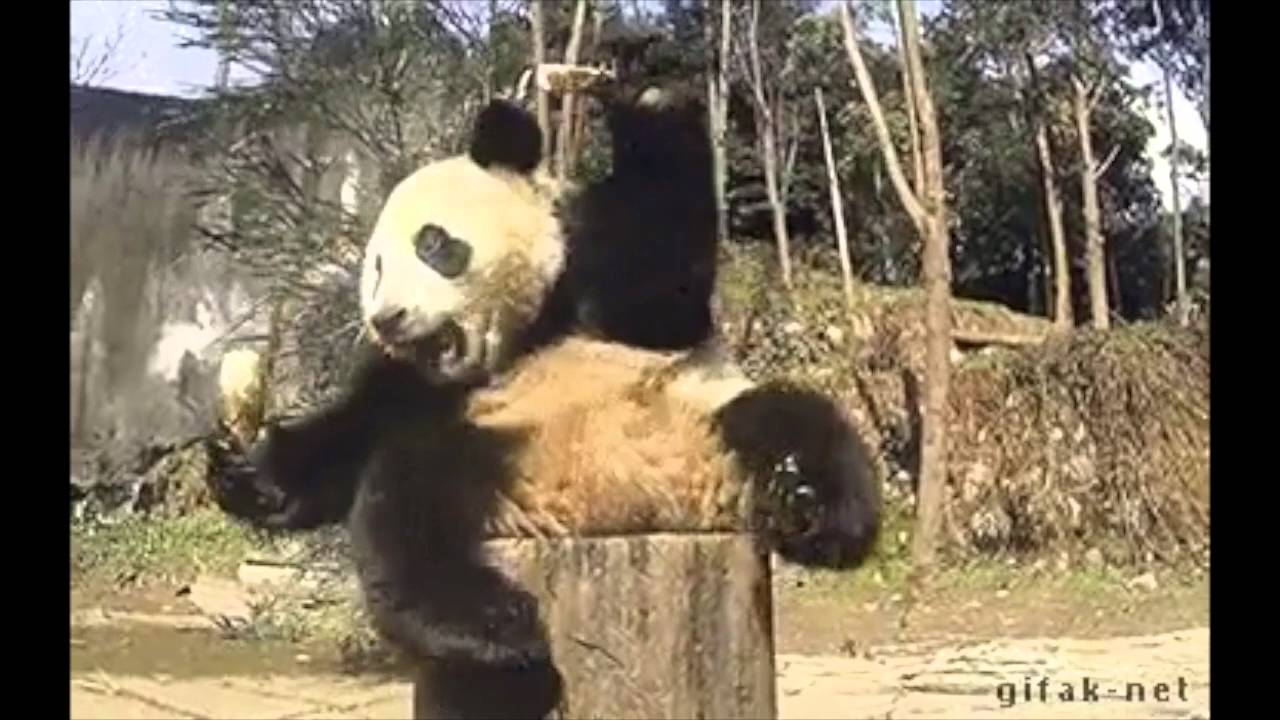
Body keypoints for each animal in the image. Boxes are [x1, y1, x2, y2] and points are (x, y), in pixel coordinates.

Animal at [207, 66, 880, 719]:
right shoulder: (412, 383)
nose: (387, 318)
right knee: (406, 508)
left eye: (433, 243)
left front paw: (648, 101)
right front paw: (246, 471)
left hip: (702, 412)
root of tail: (626, 503)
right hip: (501, 452)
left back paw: (808, 503)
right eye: (374, 267)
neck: (516, 342)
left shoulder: (595, 273)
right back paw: (497, 634)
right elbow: (349, 438)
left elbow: (659, 291)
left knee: (798, 422)